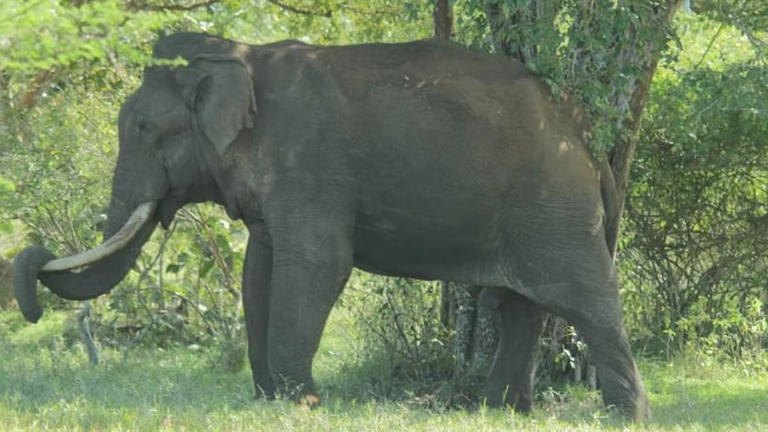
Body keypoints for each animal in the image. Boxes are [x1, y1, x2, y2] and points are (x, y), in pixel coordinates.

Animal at [13, 32, 649, 420]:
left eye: (143, 128)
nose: (32, 271)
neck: (240, 56)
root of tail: (588, 138)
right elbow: (260, 269)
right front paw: (268, 400)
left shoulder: (309, 160)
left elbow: (317, 262)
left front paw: (302, 404)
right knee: (523, 306)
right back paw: (502, 411)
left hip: (553, 202)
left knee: (585, 298)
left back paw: (625, 417)